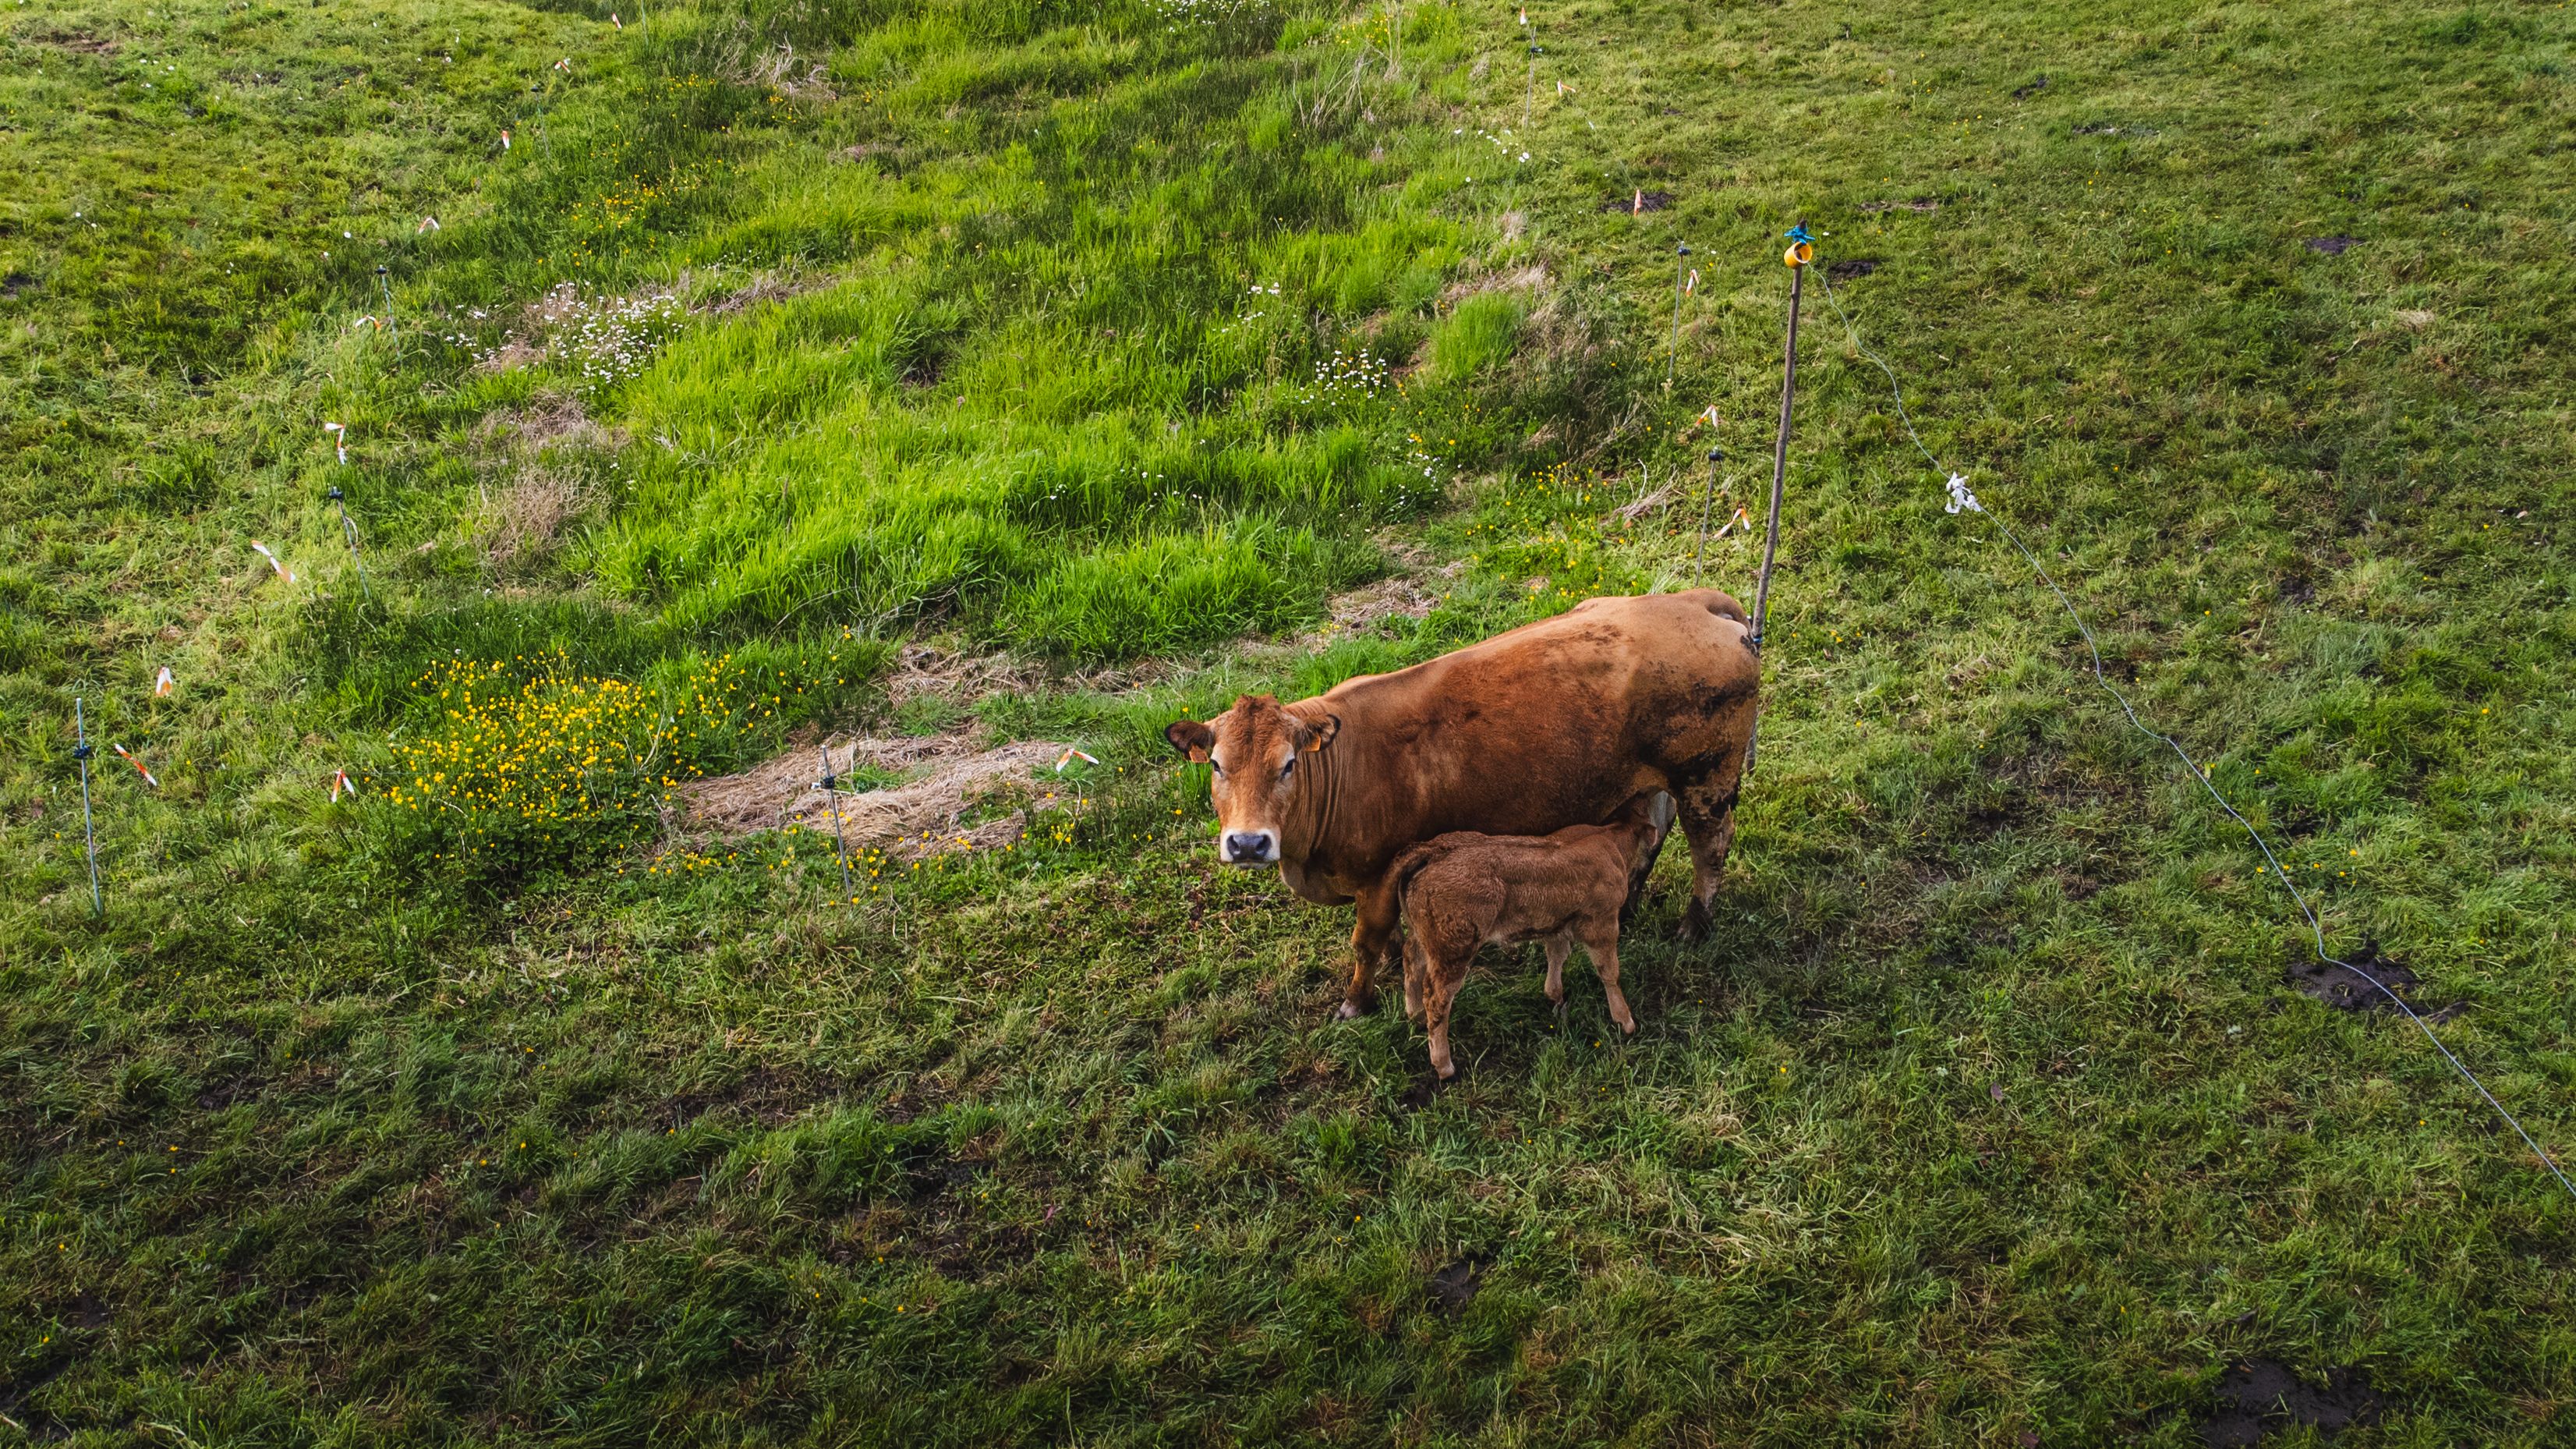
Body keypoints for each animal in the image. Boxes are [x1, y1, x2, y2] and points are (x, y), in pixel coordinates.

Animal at [1163, 588, 1759, 1019]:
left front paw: (1355, 1002)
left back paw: (1694, 926)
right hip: (1649, 780)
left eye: (1288, 764)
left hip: (1705, 778)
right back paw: (1629, 904)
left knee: (1710, 846)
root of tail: (1692, 601)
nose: (1247, 844)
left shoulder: (1379, 875)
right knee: (1653, 831)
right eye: (1216, 765)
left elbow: (1366, 943)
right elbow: (1393, 939)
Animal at [1391, 799, 1669, 1077]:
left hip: (1422, 934)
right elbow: (1609, 971)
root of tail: (1434, 850)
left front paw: (1555, 996)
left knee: (1411, 961)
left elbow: (1557, 955)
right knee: (1437, 997)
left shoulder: (1558, 923)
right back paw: (1444, 1065)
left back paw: (1415, 1015)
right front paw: (1625, 1020)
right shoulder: (1602, 922)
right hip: (1454, 948)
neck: (1611, 839)